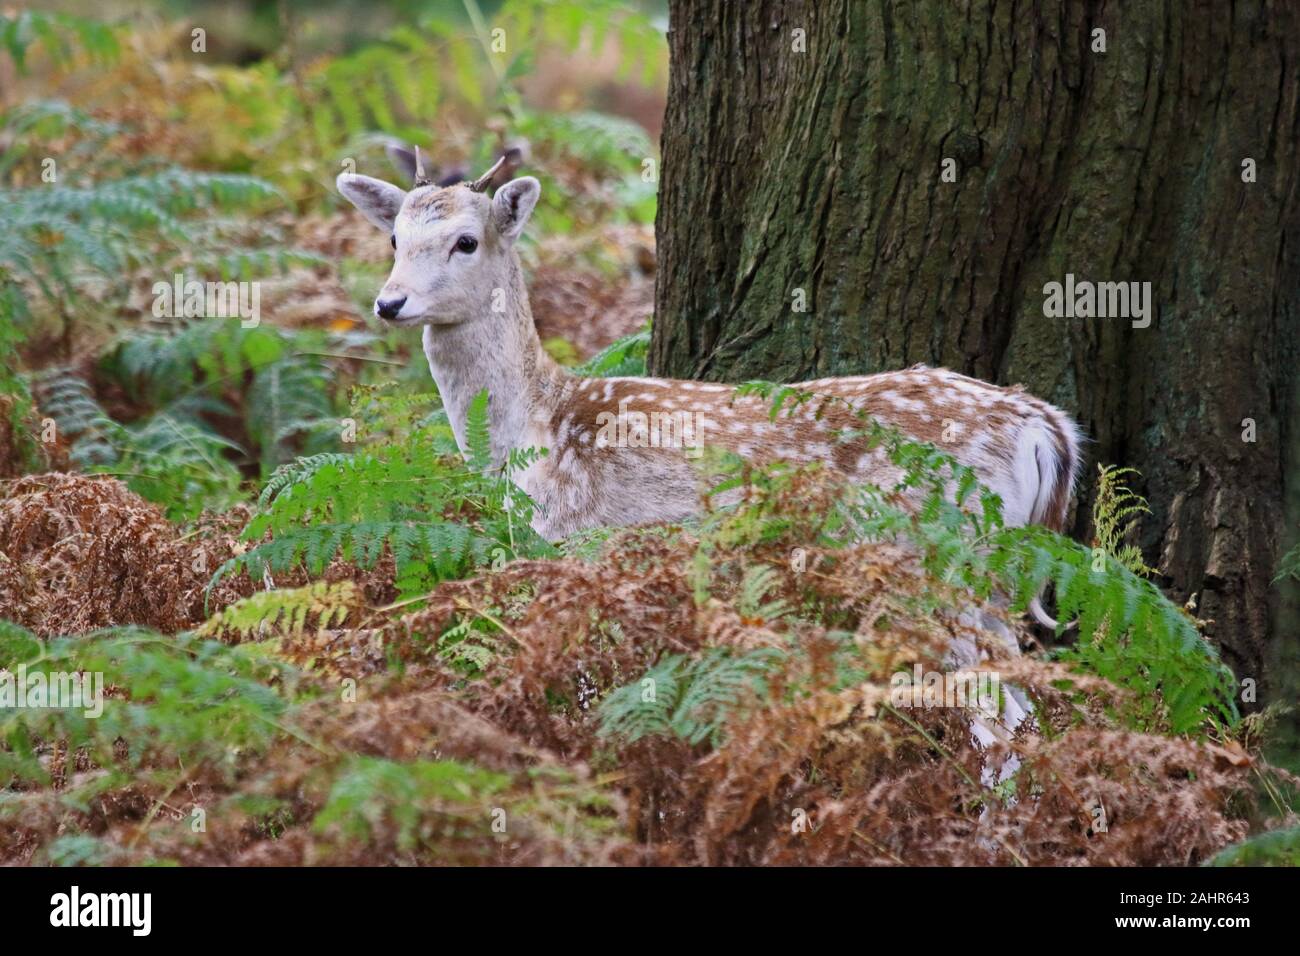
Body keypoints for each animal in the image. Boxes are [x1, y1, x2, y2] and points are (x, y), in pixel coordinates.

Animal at [336, 154, 1083, 630]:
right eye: (394, 238)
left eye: (466, 241)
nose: (389, 303)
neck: (534, 431)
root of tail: (1045, 426)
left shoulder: (577, 540)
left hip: (951, 559)